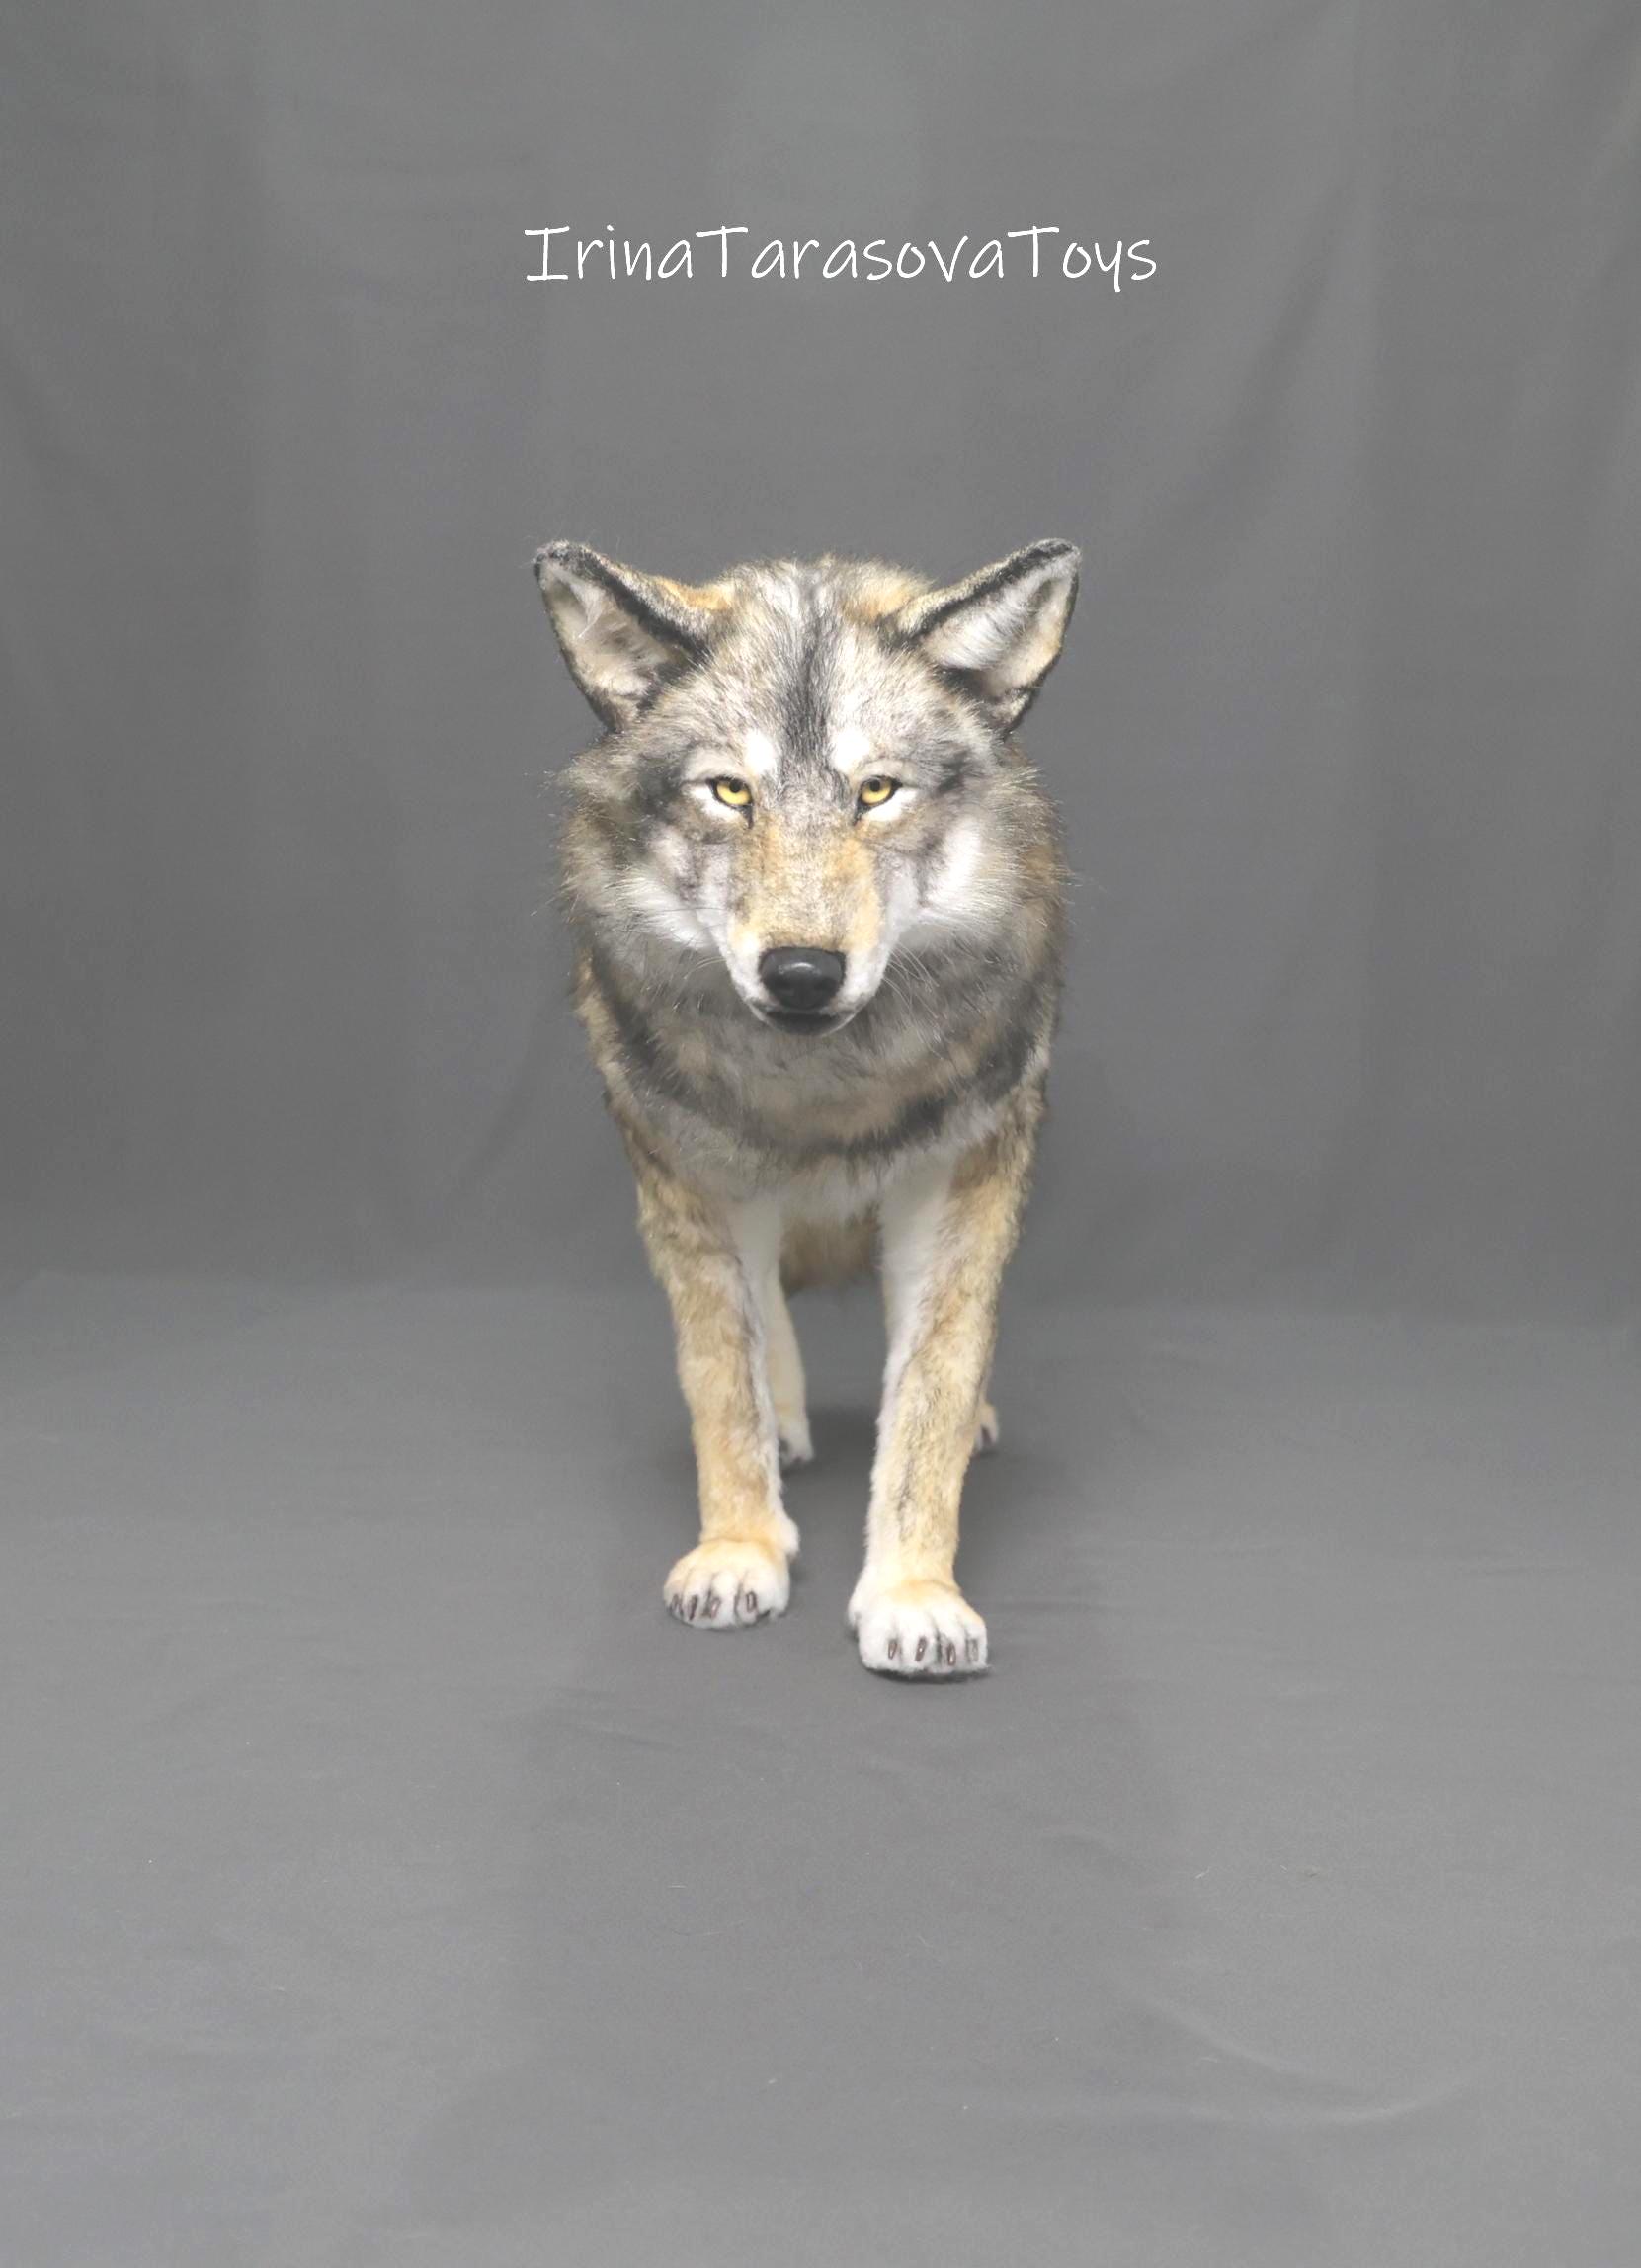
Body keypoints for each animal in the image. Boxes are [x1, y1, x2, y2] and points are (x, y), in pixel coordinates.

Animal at [534, 537, 1078, 1676]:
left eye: (876, 791)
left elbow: (927, 1398)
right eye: (729, 792)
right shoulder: (687, 1182)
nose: (798, 973)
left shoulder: (960, 1183)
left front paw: (914, 1595)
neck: (825, 1098)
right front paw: (739, 1547)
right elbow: (720, 1383)